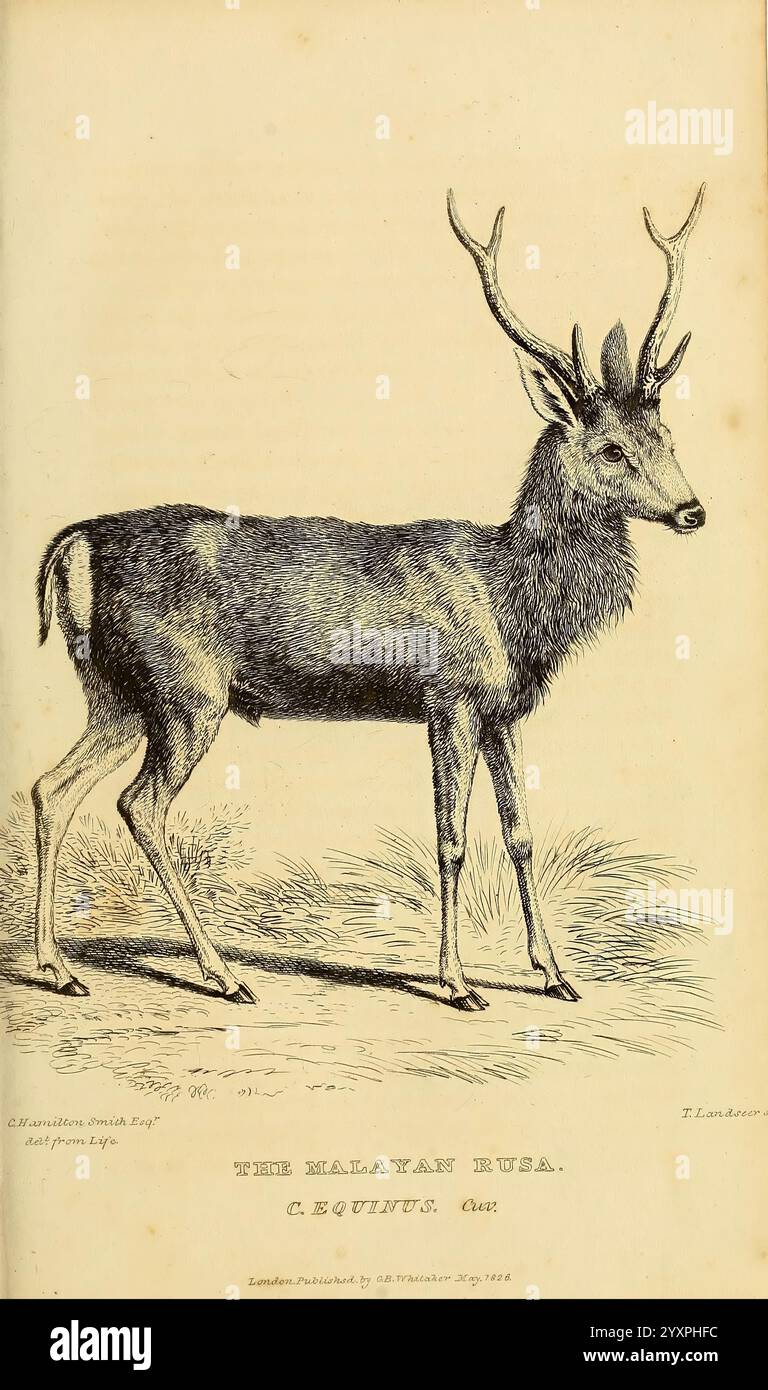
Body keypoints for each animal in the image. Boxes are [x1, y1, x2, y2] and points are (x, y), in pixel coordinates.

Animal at [32, 183, 706, 1011]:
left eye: (666, 435)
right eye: (611, 449)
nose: (692, 510)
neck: (514, 607)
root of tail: (76, 543)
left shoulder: (503, 711)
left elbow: (520, 834)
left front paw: (555, 975)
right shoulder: (449, 698)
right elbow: (451, 839)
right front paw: (457, 982)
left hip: (118, 693)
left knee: (51, 787)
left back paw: (59, 968)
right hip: (186, 692)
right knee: (139, 804)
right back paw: (222, 974)